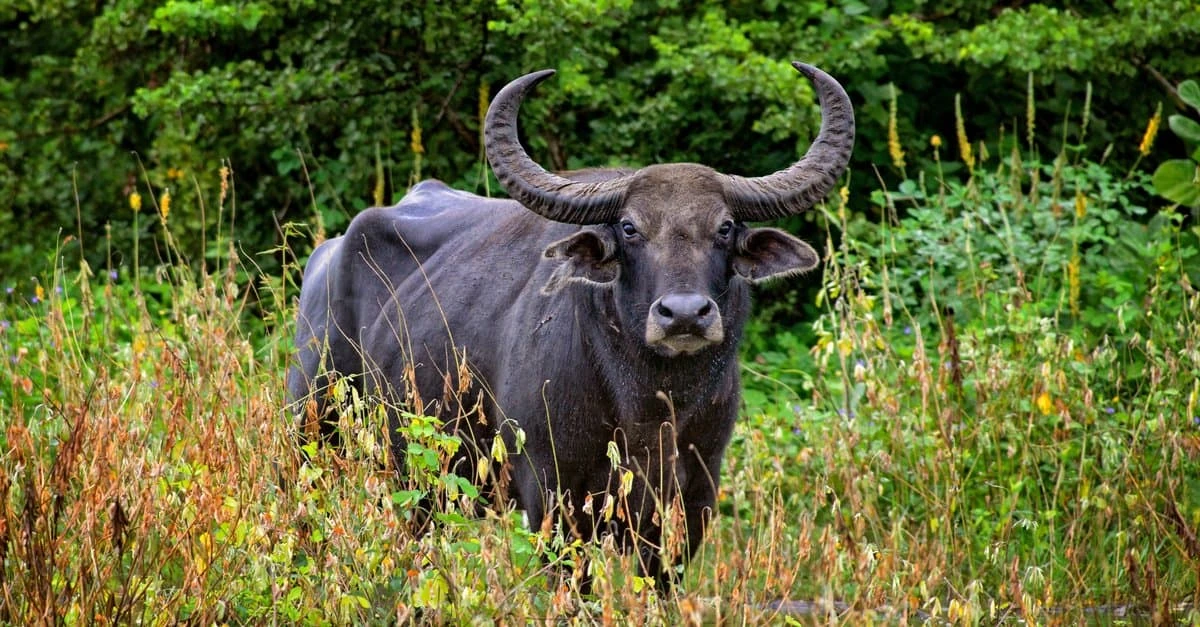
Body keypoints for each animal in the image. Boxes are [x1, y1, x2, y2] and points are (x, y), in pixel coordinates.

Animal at [287, 61, 854, 583]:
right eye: (628, 228)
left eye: (726, 226)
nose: (684, 314)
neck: (648, 406)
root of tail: (327, 256)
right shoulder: (554, 500)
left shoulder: (692, 503)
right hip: (312, 433)